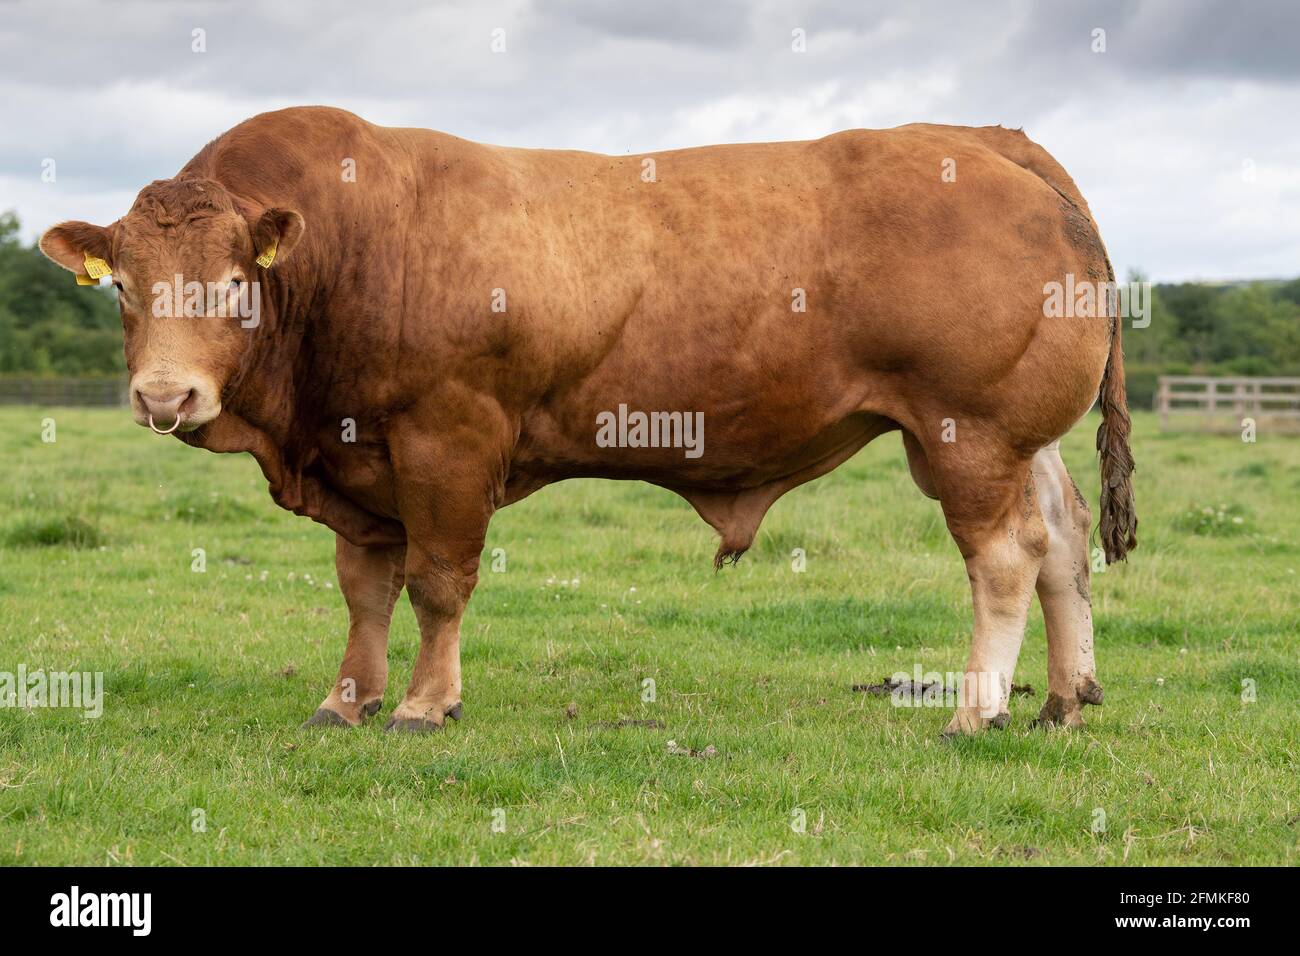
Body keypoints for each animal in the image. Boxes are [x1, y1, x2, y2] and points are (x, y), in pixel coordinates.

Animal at [39, 107, 1136, 735]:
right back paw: (1062, 699)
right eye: (123, 286)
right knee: (1062, 540)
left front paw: (425, 703)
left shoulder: (446, 438)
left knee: (1003, 556)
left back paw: (976, 709)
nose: (165, 397)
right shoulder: (362, 460)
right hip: (1015, 437)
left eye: (233, 284)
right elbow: (365, 589)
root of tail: (986, 141)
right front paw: (346, 699)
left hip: (966, 431)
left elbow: (437, 582)